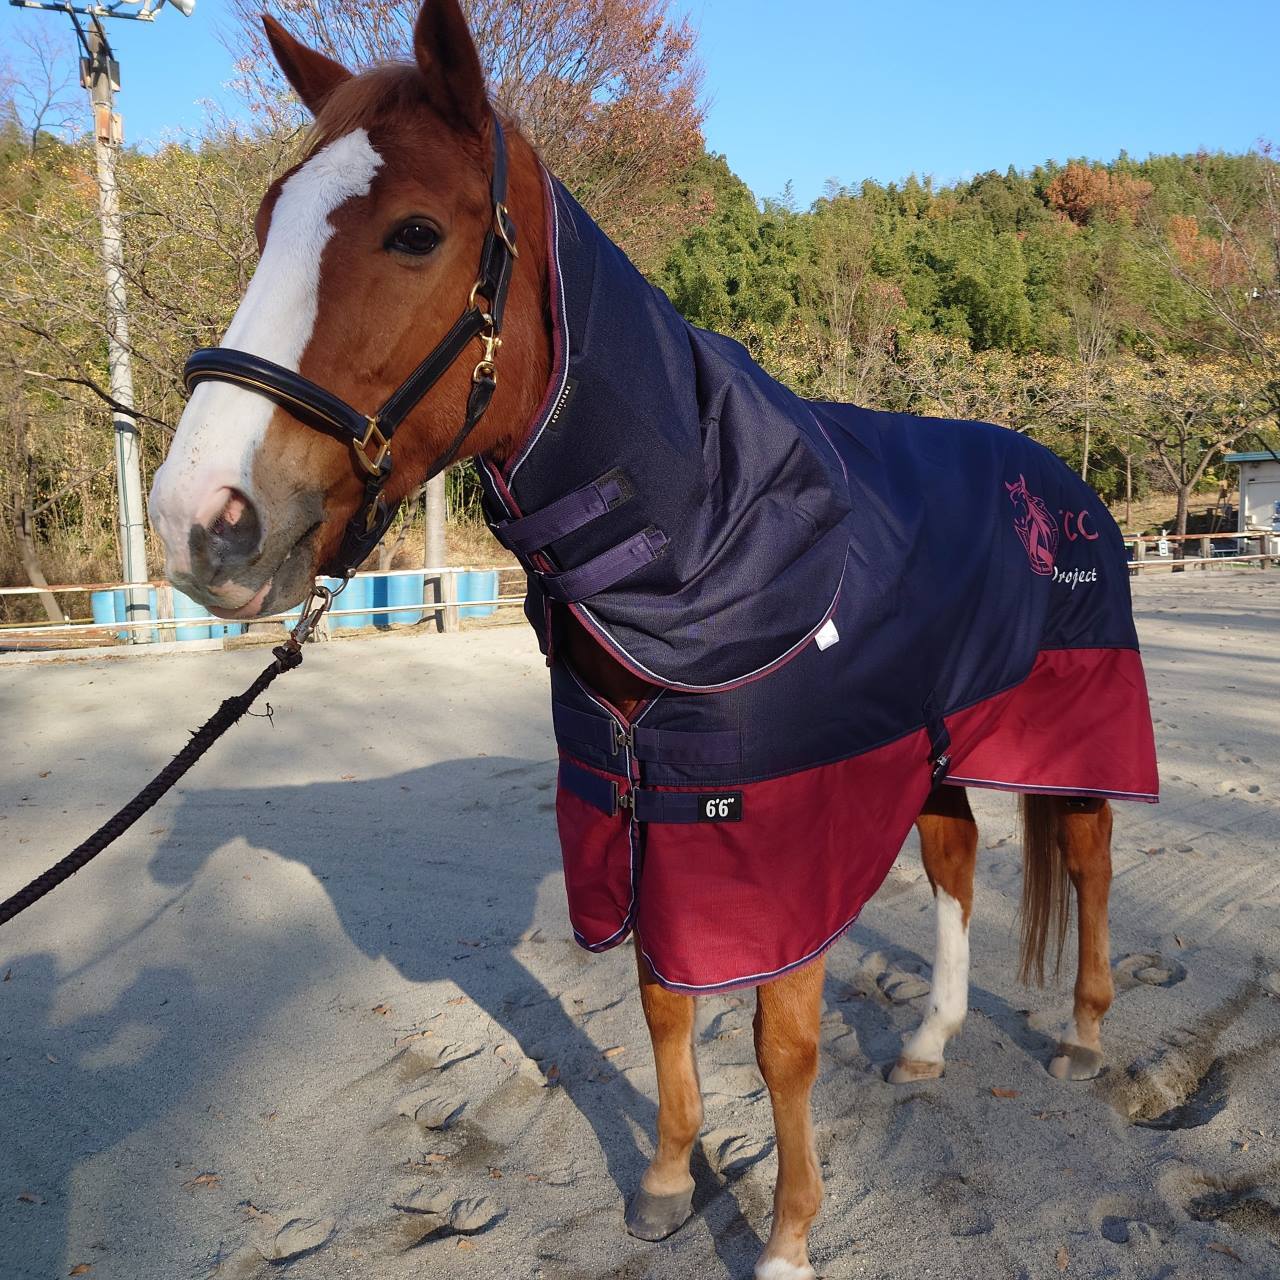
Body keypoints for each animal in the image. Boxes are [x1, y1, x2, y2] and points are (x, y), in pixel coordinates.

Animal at [147, 4, 1158, 1276]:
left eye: (415, 233)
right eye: (264, 222)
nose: (197, 518)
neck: (706, 529)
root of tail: (1062, 480)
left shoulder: (768, 835)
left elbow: (779, 1042)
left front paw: (785, 1235)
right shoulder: (638, 813)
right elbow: (662, 1000)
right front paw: (672, 1175)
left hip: (1069, 716)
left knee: (1087, 854)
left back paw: (1080, 1033)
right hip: (922, 732)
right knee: (956, 858)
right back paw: (931, 1036)